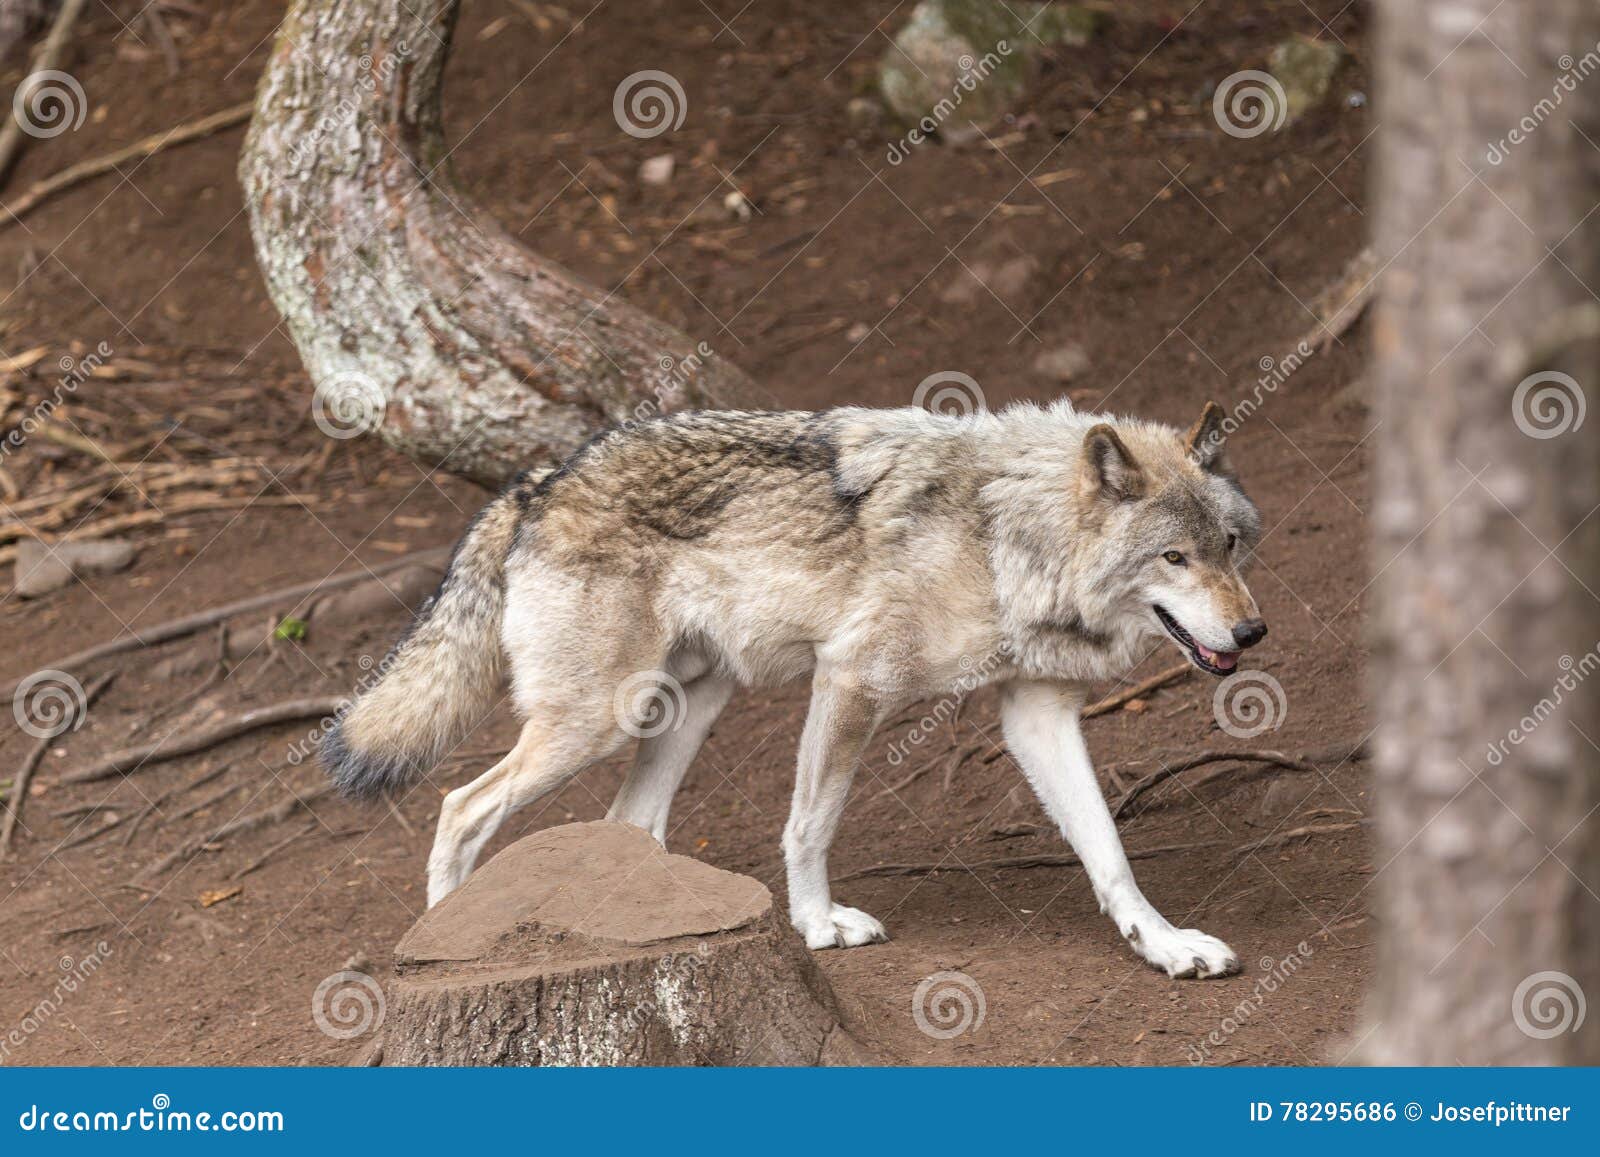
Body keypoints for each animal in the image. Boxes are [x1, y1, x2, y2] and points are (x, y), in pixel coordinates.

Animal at [323, 399, 1267, 978]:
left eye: (1228, 545)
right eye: (1172, 558)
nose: (1253, 633)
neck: (1002, 533)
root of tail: (535, 483)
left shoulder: (1036, 712)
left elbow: (1108, 850)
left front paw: (1165, 945)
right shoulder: (851, 679)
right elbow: (811, 824)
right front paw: (817, 925)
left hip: (686, 704)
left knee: (628, 821)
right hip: (602, 719)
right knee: (459, 807)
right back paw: (448, 935)